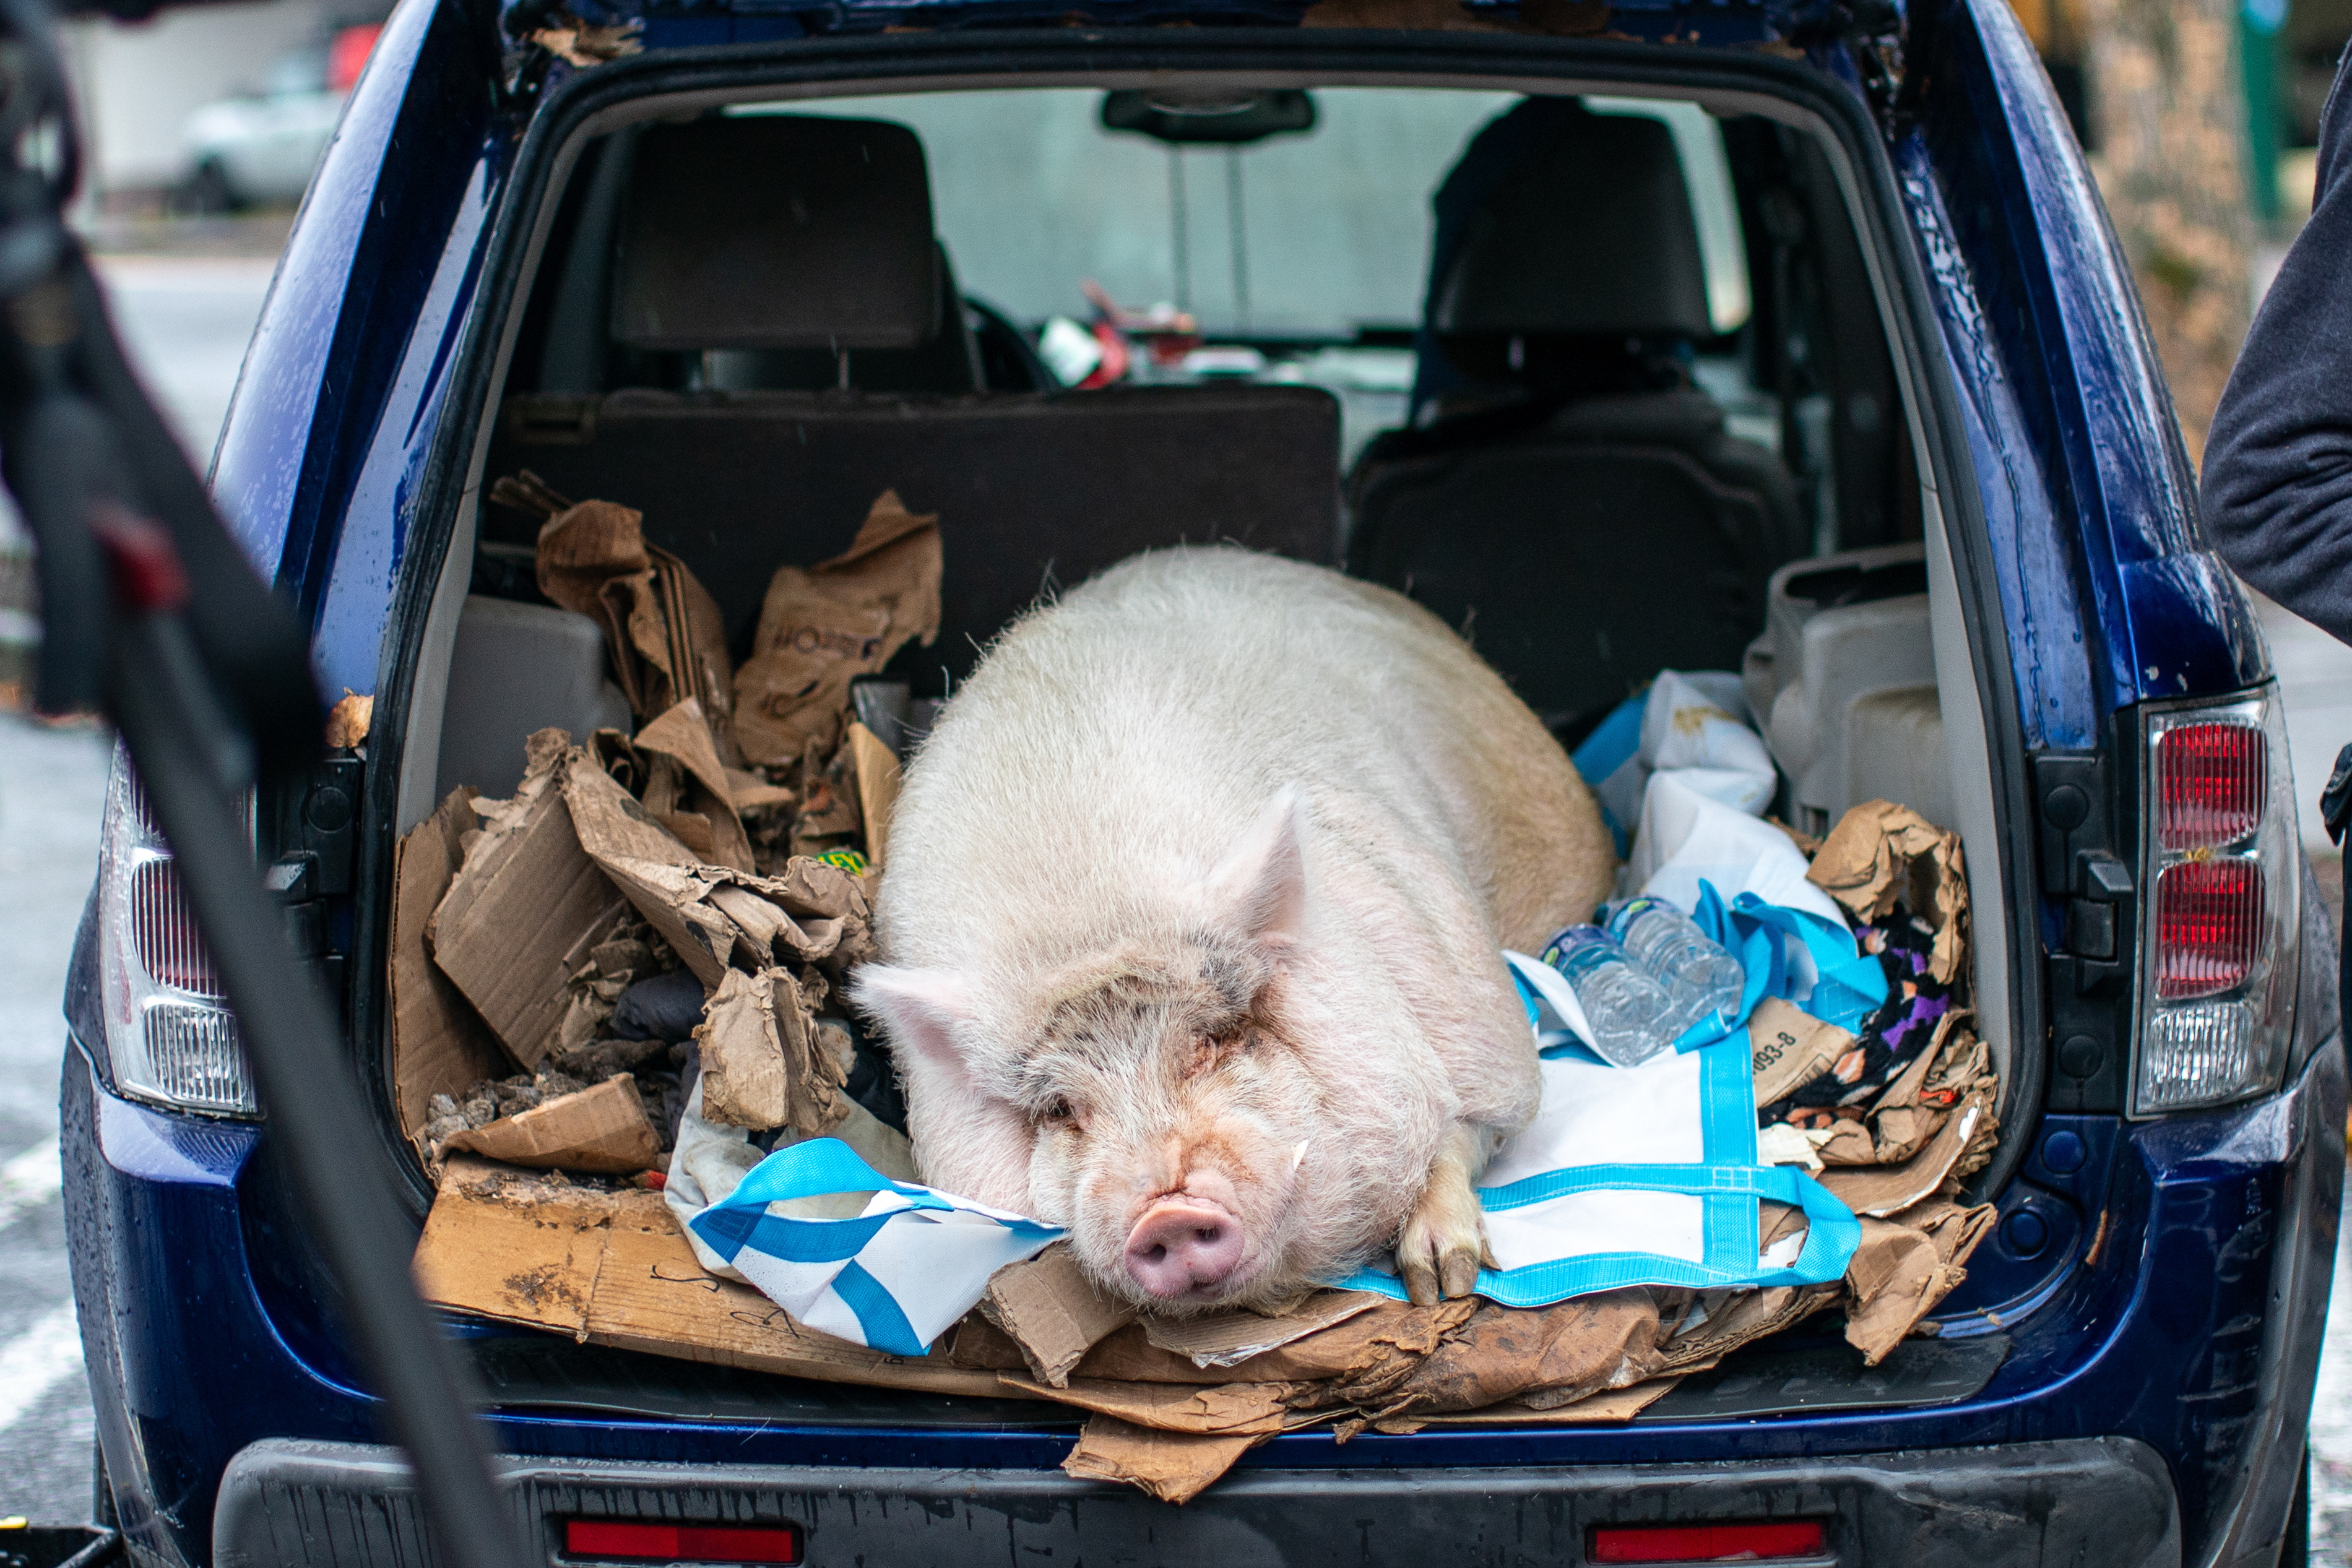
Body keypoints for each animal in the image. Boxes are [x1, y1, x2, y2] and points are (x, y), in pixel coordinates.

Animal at [852, 547, 1614, 1310]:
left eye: (1214, 1040)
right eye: (1062, 1108)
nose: (1167, 1213)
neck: (1090, 918)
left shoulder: (1469, 1001)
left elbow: (1469, 1124)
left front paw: (1441, 1281)